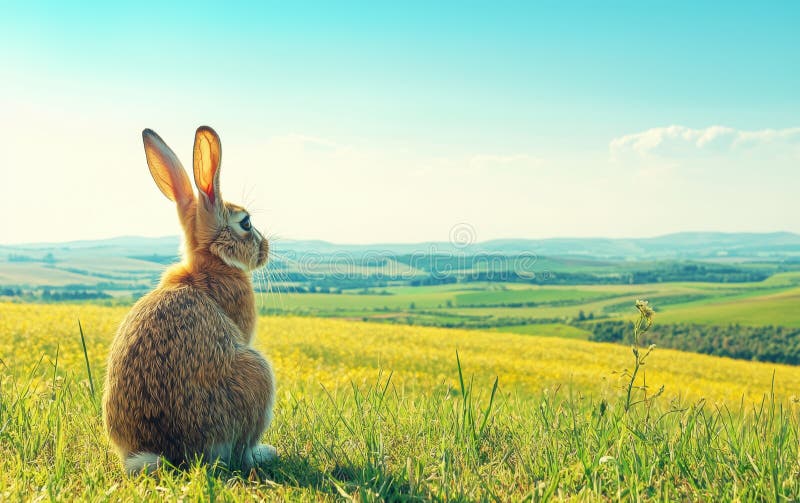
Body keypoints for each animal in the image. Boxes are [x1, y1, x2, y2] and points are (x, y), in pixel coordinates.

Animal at [102, 126, 276, 475]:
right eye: (246, 223)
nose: (265, 249)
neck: (210, 263)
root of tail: (169, 453)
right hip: (258, 375)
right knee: (239, 452)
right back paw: (264, 453)